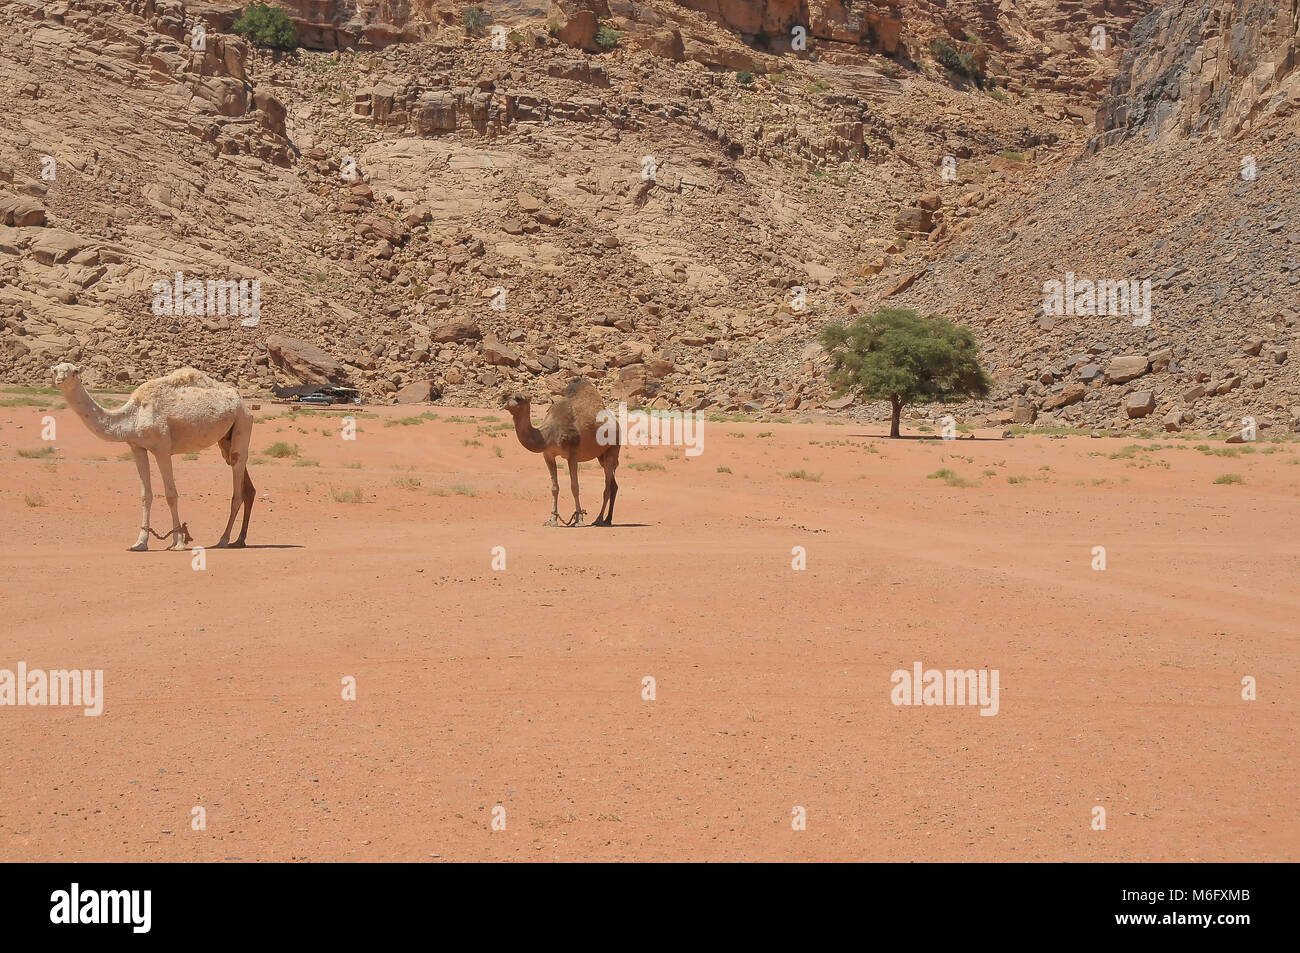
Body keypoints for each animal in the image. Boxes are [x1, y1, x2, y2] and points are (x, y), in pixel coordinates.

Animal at [51, 363, 255, 551]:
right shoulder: (137, 447)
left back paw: (223, 540)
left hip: (242, 423)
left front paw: (178, 543)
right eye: (55, 370)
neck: (133, 416)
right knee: (245, 483)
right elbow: (145, 495)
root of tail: (242, 402)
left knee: (237, 486)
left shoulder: (162, 448)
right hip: (226, 439)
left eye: (74, 371)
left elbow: (171, 494)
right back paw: (239, 540)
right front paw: (139, 543)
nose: (60, 380)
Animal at [504, 377, 620, 527]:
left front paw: (578, 518)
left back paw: (599, 519)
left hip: (614, 448)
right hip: (601, 456)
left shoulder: (573, 455)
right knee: (613, 485)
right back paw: (608, 519)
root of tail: (616, 423)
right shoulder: (548, 454)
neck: (547, 435)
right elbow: (554, 488)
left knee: (607, 487)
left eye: (518, 398)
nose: (504, 401)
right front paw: (552, 519)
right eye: (508, 394)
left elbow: (575, 487)